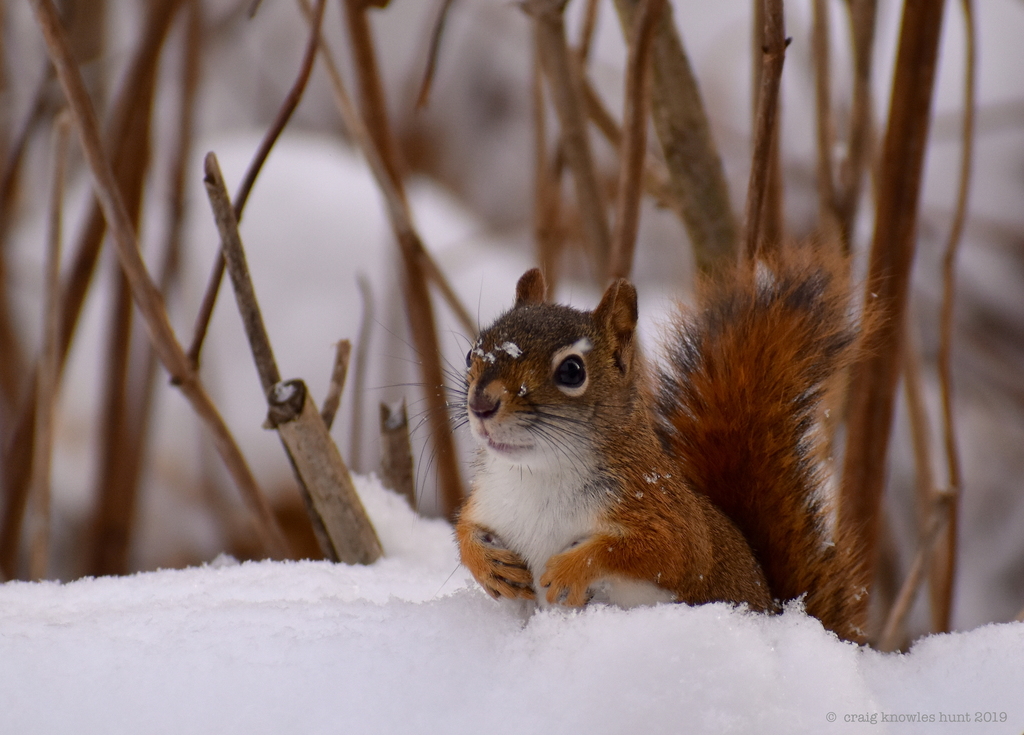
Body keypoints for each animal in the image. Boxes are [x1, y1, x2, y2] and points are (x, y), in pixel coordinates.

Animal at [454, 250, 868, 642]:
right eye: (472, 353)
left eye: (571, 371)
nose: (481, 404)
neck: (535, 473)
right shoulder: (489, 501)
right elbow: (464, 527)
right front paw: (487, 565)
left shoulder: (665, 513)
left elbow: (661, 552)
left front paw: (569, 570)